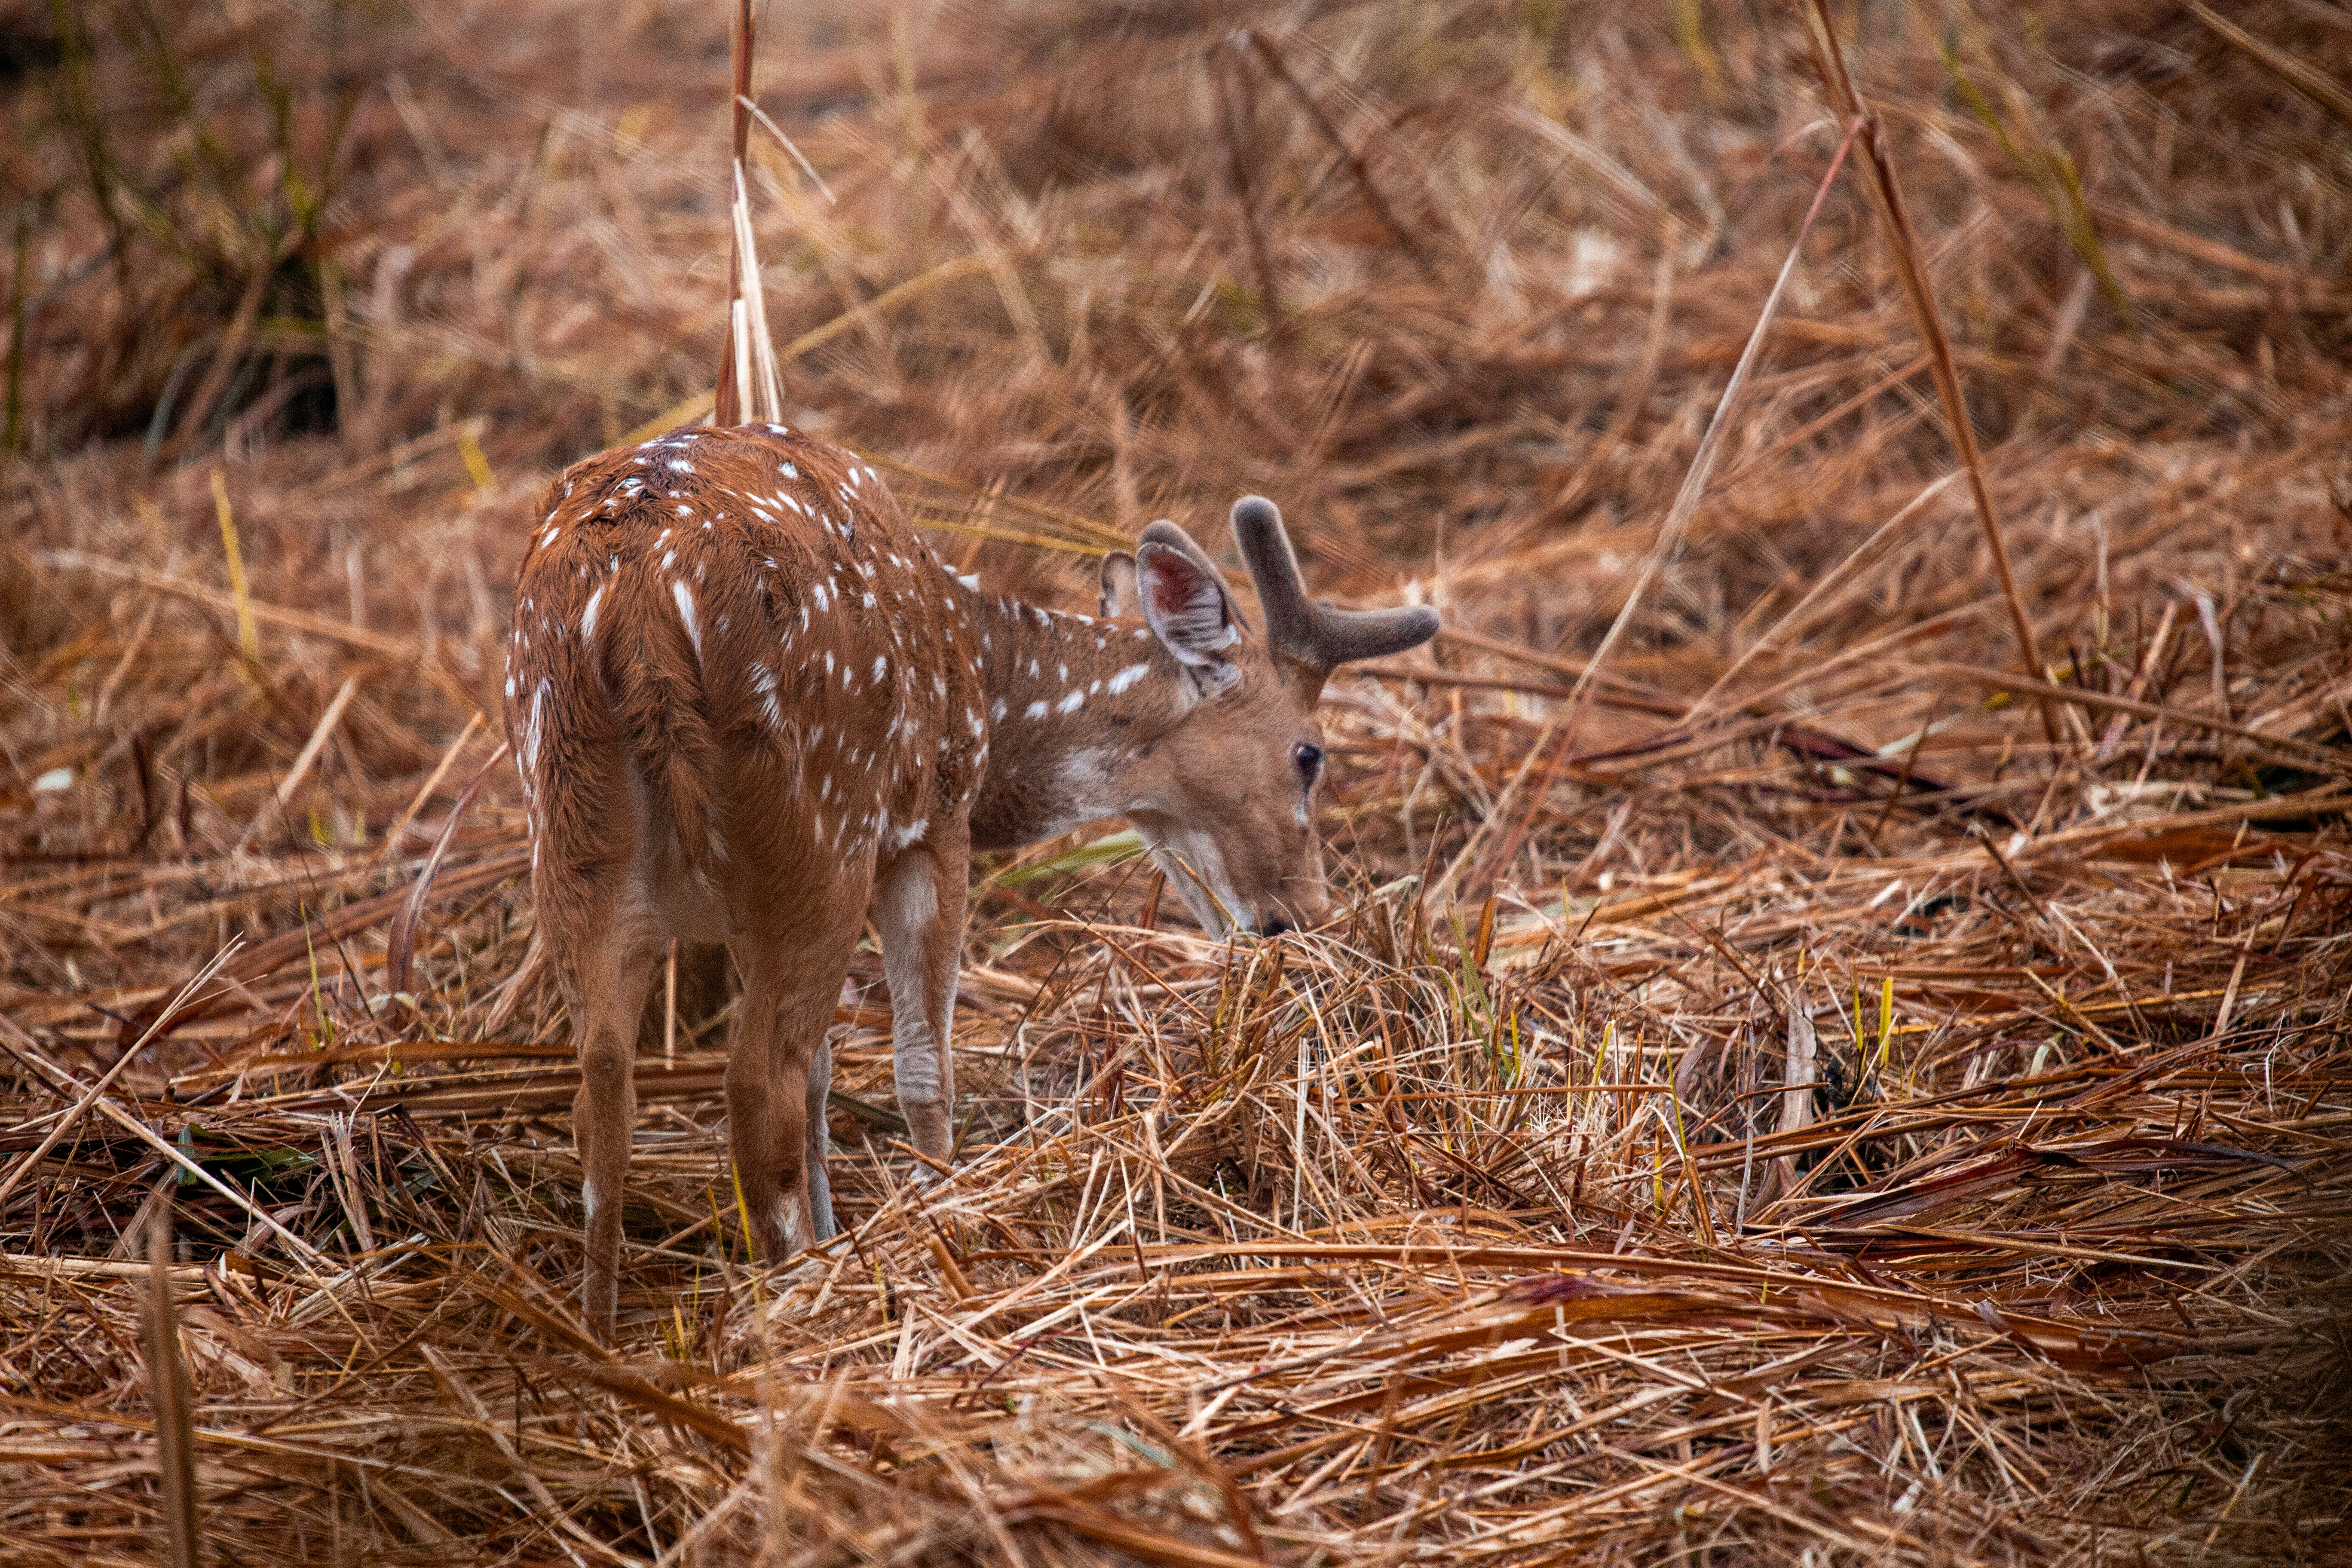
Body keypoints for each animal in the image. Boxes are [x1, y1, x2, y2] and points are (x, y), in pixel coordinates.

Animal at [504, 421, 1437, 1332]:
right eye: (1309, 753)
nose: (1300, 916)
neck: (988, 684)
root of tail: (638, 608)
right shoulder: (931, 827)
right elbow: (921, 1068)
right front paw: (932, 1227)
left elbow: (828, 1069)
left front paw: (850, 1230)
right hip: (820, 826)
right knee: (756, 1079)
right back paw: (799, 1303)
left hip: (577, 834)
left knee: (606, 1086)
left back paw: (600, 1335)